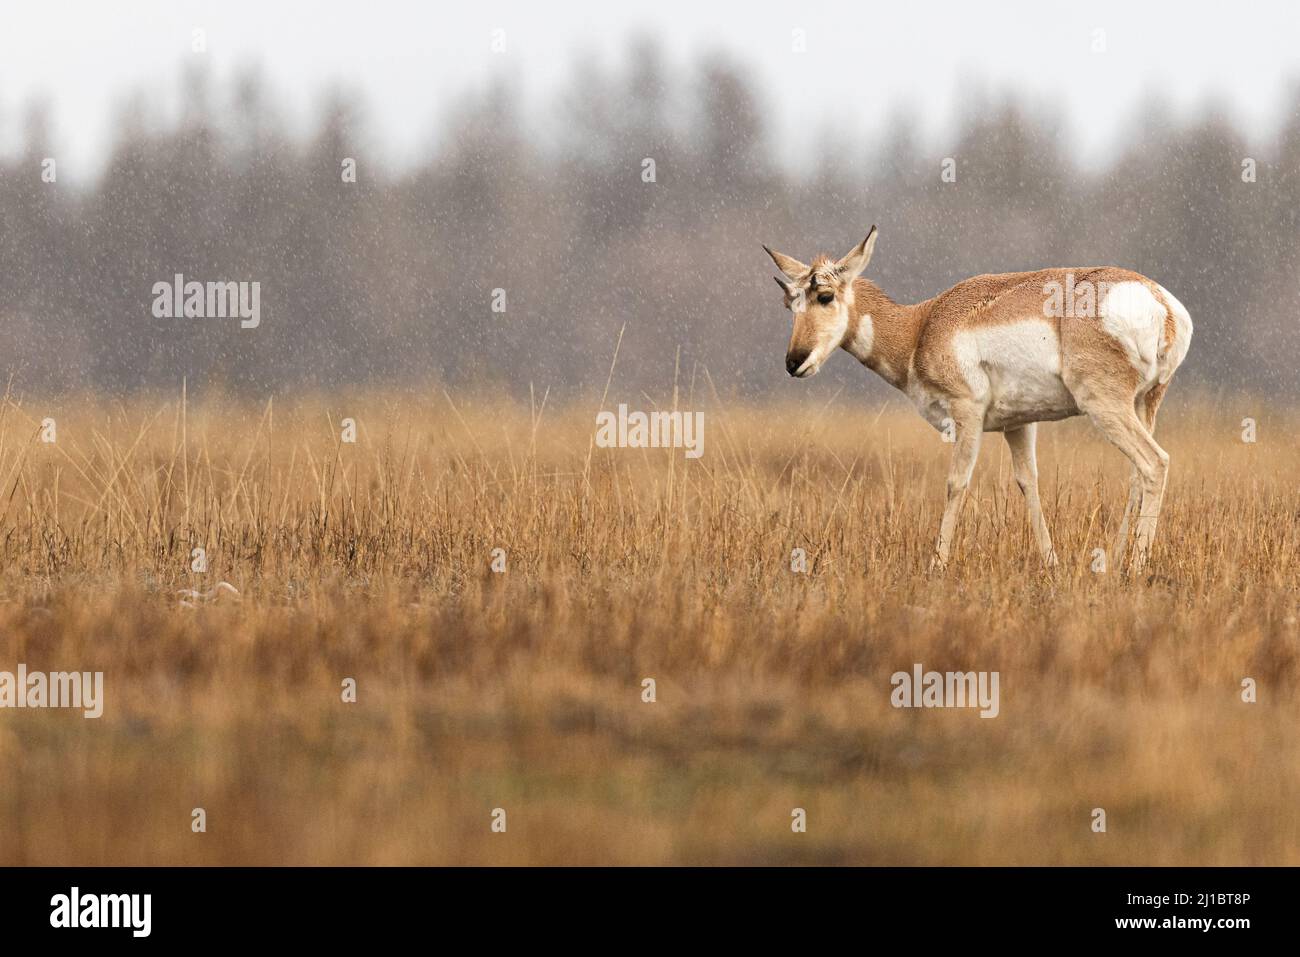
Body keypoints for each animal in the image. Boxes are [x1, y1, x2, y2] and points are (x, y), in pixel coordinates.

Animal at [765, 226, 1193, 572]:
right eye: (790, 303)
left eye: (824, 295)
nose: (793, 362)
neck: (922, 326)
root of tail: (1162, 303)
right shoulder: (1019, 424)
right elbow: (1028, 482)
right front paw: (1051, 562)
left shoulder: (966, 413)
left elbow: (956, 482)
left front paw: (937, 565)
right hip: (1144, 404)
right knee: (1138, 474)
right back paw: (1115, 560)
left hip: (1105, 405)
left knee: (1155, 463)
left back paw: (1135, 566)